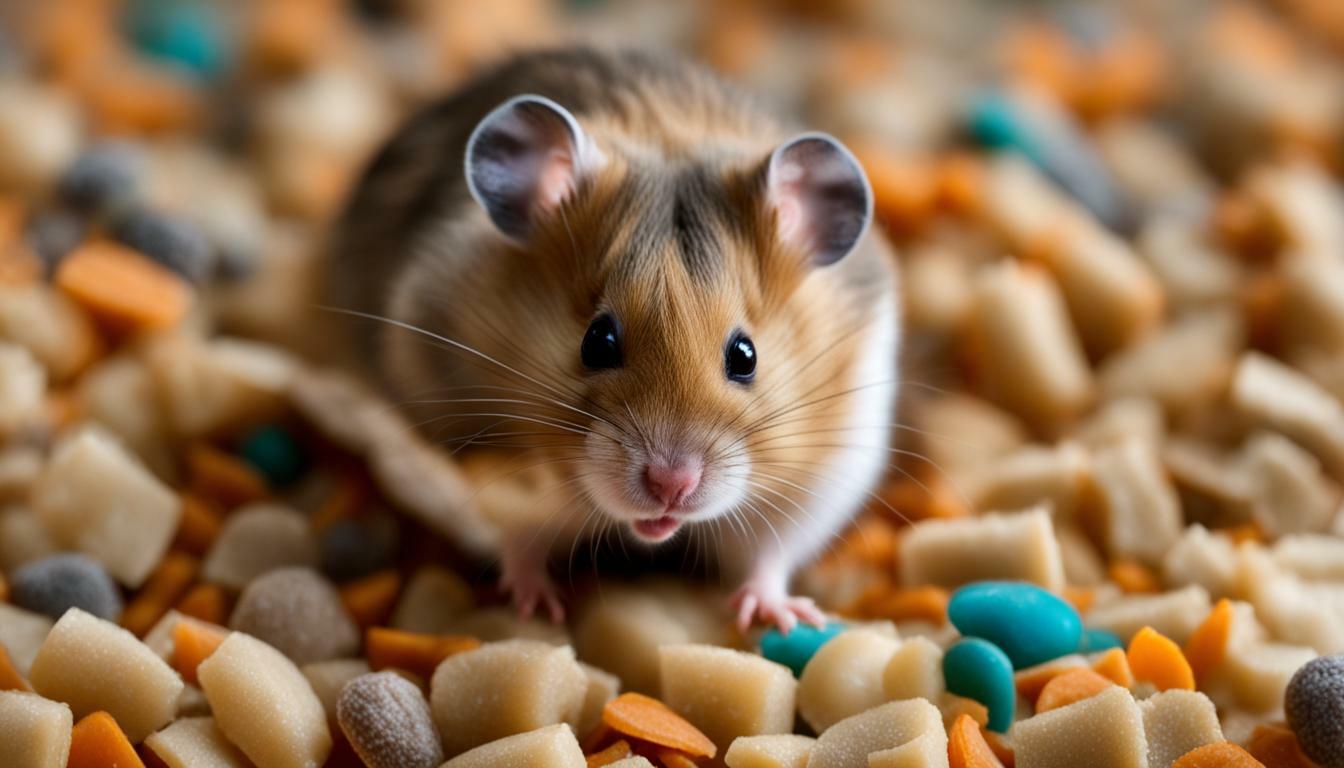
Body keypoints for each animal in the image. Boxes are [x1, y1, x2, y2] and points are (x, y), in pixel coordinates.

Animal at [323, 48, 901, 633]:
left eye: (745, 356)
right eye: (597, 341)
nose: (671, 486)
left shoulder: (824, 475)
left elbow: (768, 551)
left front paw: (780, 617)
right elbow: (519, 537)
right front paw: (538, 605)